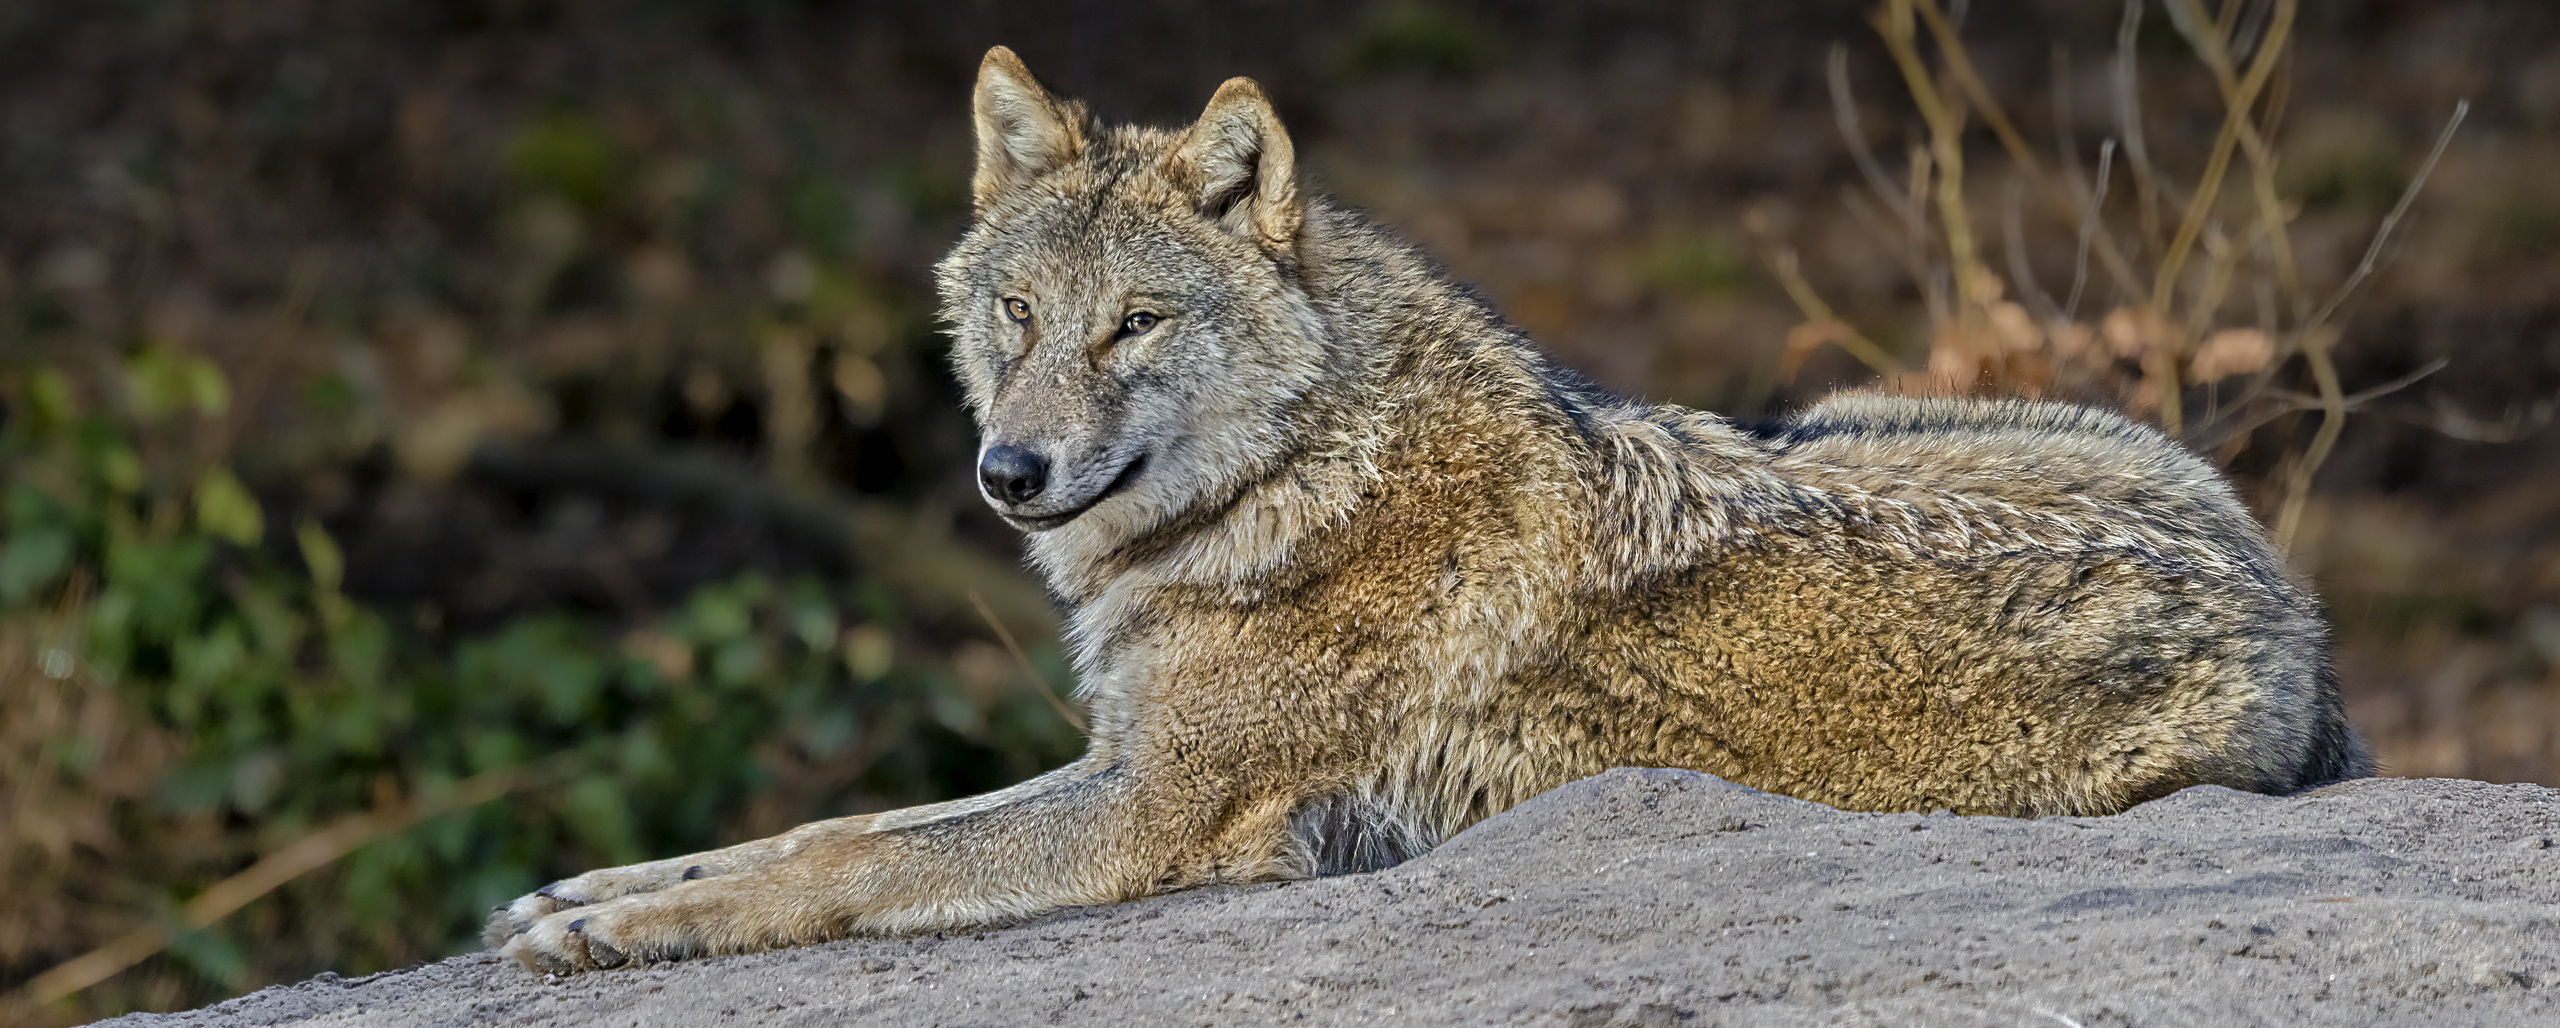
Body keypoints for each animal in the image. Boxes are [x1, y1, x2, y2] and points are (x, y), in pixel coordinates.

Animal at [486, 46, 2370, 974]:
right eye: (1016, 315)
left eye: (1134, 325)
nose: (1008, 475)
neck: (1298, 471)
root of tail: (2297, 607)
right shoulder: (1114, 759)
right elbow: (837, 822)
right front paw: (586, 888)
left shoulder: (1151, 809)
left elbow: (850, 850)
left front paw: (624, 928)